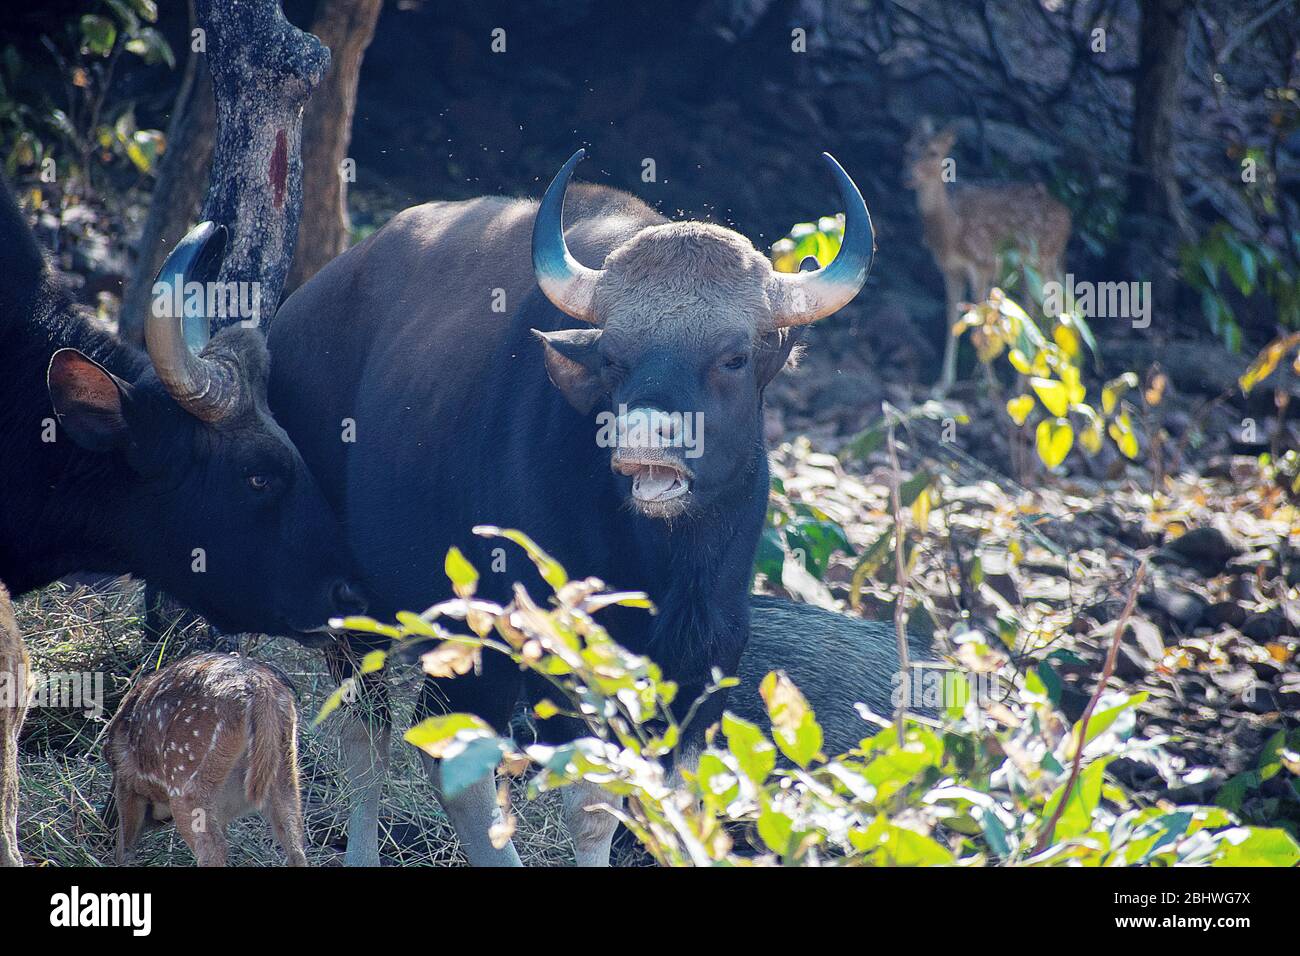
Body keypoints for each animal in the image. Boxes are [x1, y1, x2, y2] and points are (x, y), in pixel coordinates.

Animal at [269, 150, 874, 865]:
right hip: (379, 617)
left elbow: (668, 794)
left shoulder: (704, 660)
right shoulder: (554, 654)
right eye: (613, 356)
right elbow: (588, 804)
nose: (644, 438)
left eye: (733, 356)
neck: (659, 560)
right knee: (383, 739)